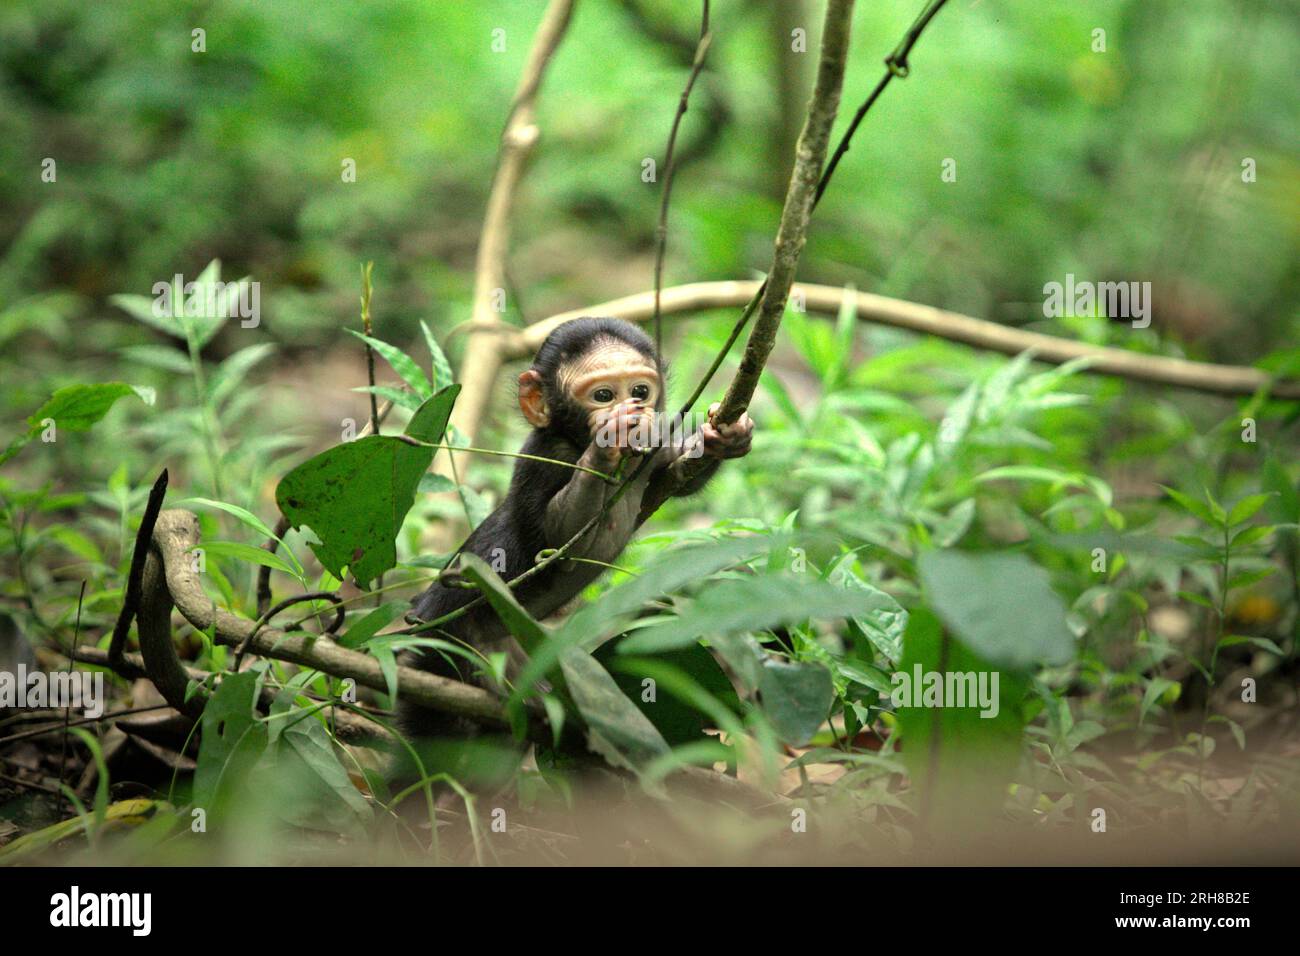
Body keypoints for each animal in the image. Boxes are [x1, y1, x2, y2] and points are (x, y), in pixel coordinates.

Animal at [399, 317, 753, 750]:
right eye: (603, 395)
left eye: (640, 391)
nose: (632, 409)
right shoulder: (546, 457)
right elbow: (556, 541)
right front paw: (602, 448)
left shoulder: (651, 452)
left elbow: (678, 470)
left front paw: (723, 436)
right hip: (452, 647)